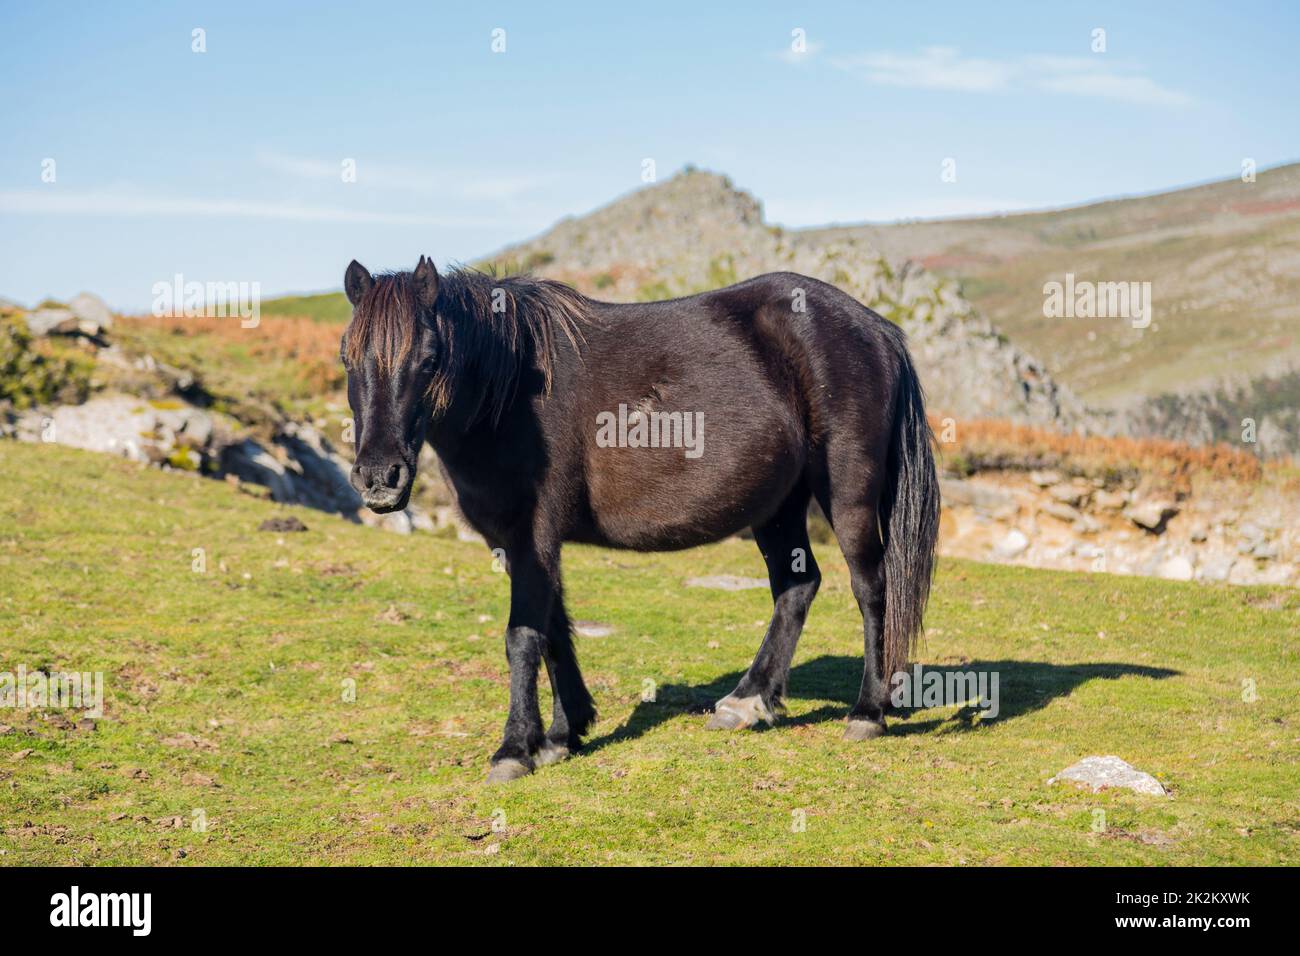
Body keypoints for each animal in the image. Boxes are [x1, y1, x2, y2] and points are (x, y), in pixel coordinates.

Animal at [340, 256, 940, 782]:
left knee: (871, 588)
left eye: (428, 358)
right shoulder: (521, 543)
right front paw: (564, 733)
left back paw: (867, 713)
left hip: (847, 493)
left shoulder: (533, 536)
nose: (378, 478)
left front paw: (515, 748)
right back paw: (748, 701)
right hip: (778, 505)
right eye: (348, 359)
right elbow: (554, 628)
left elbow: (523, 635)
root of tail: (878, 330)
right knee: (796, 587)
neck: (511, 395)